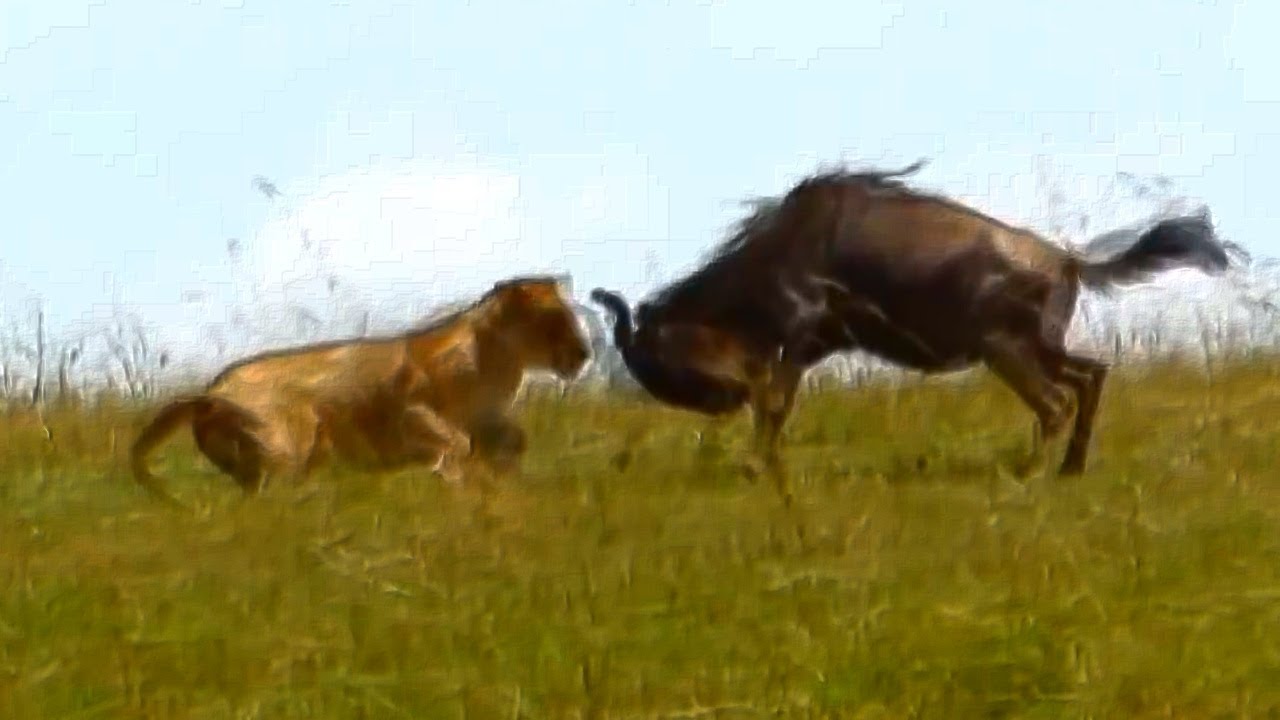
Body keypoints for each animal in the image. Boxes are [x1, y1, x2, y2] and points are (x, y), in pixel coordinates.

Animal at [129, 275, 592, 505]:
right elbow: (452, 441)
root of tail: (208, 394)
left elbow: (509, 441)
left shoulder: (490, 420)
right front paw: (462, 481)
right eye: (553, 317)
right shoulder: (407, 410)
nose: (584, 353)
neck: (504, 359)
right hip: (284, 450)